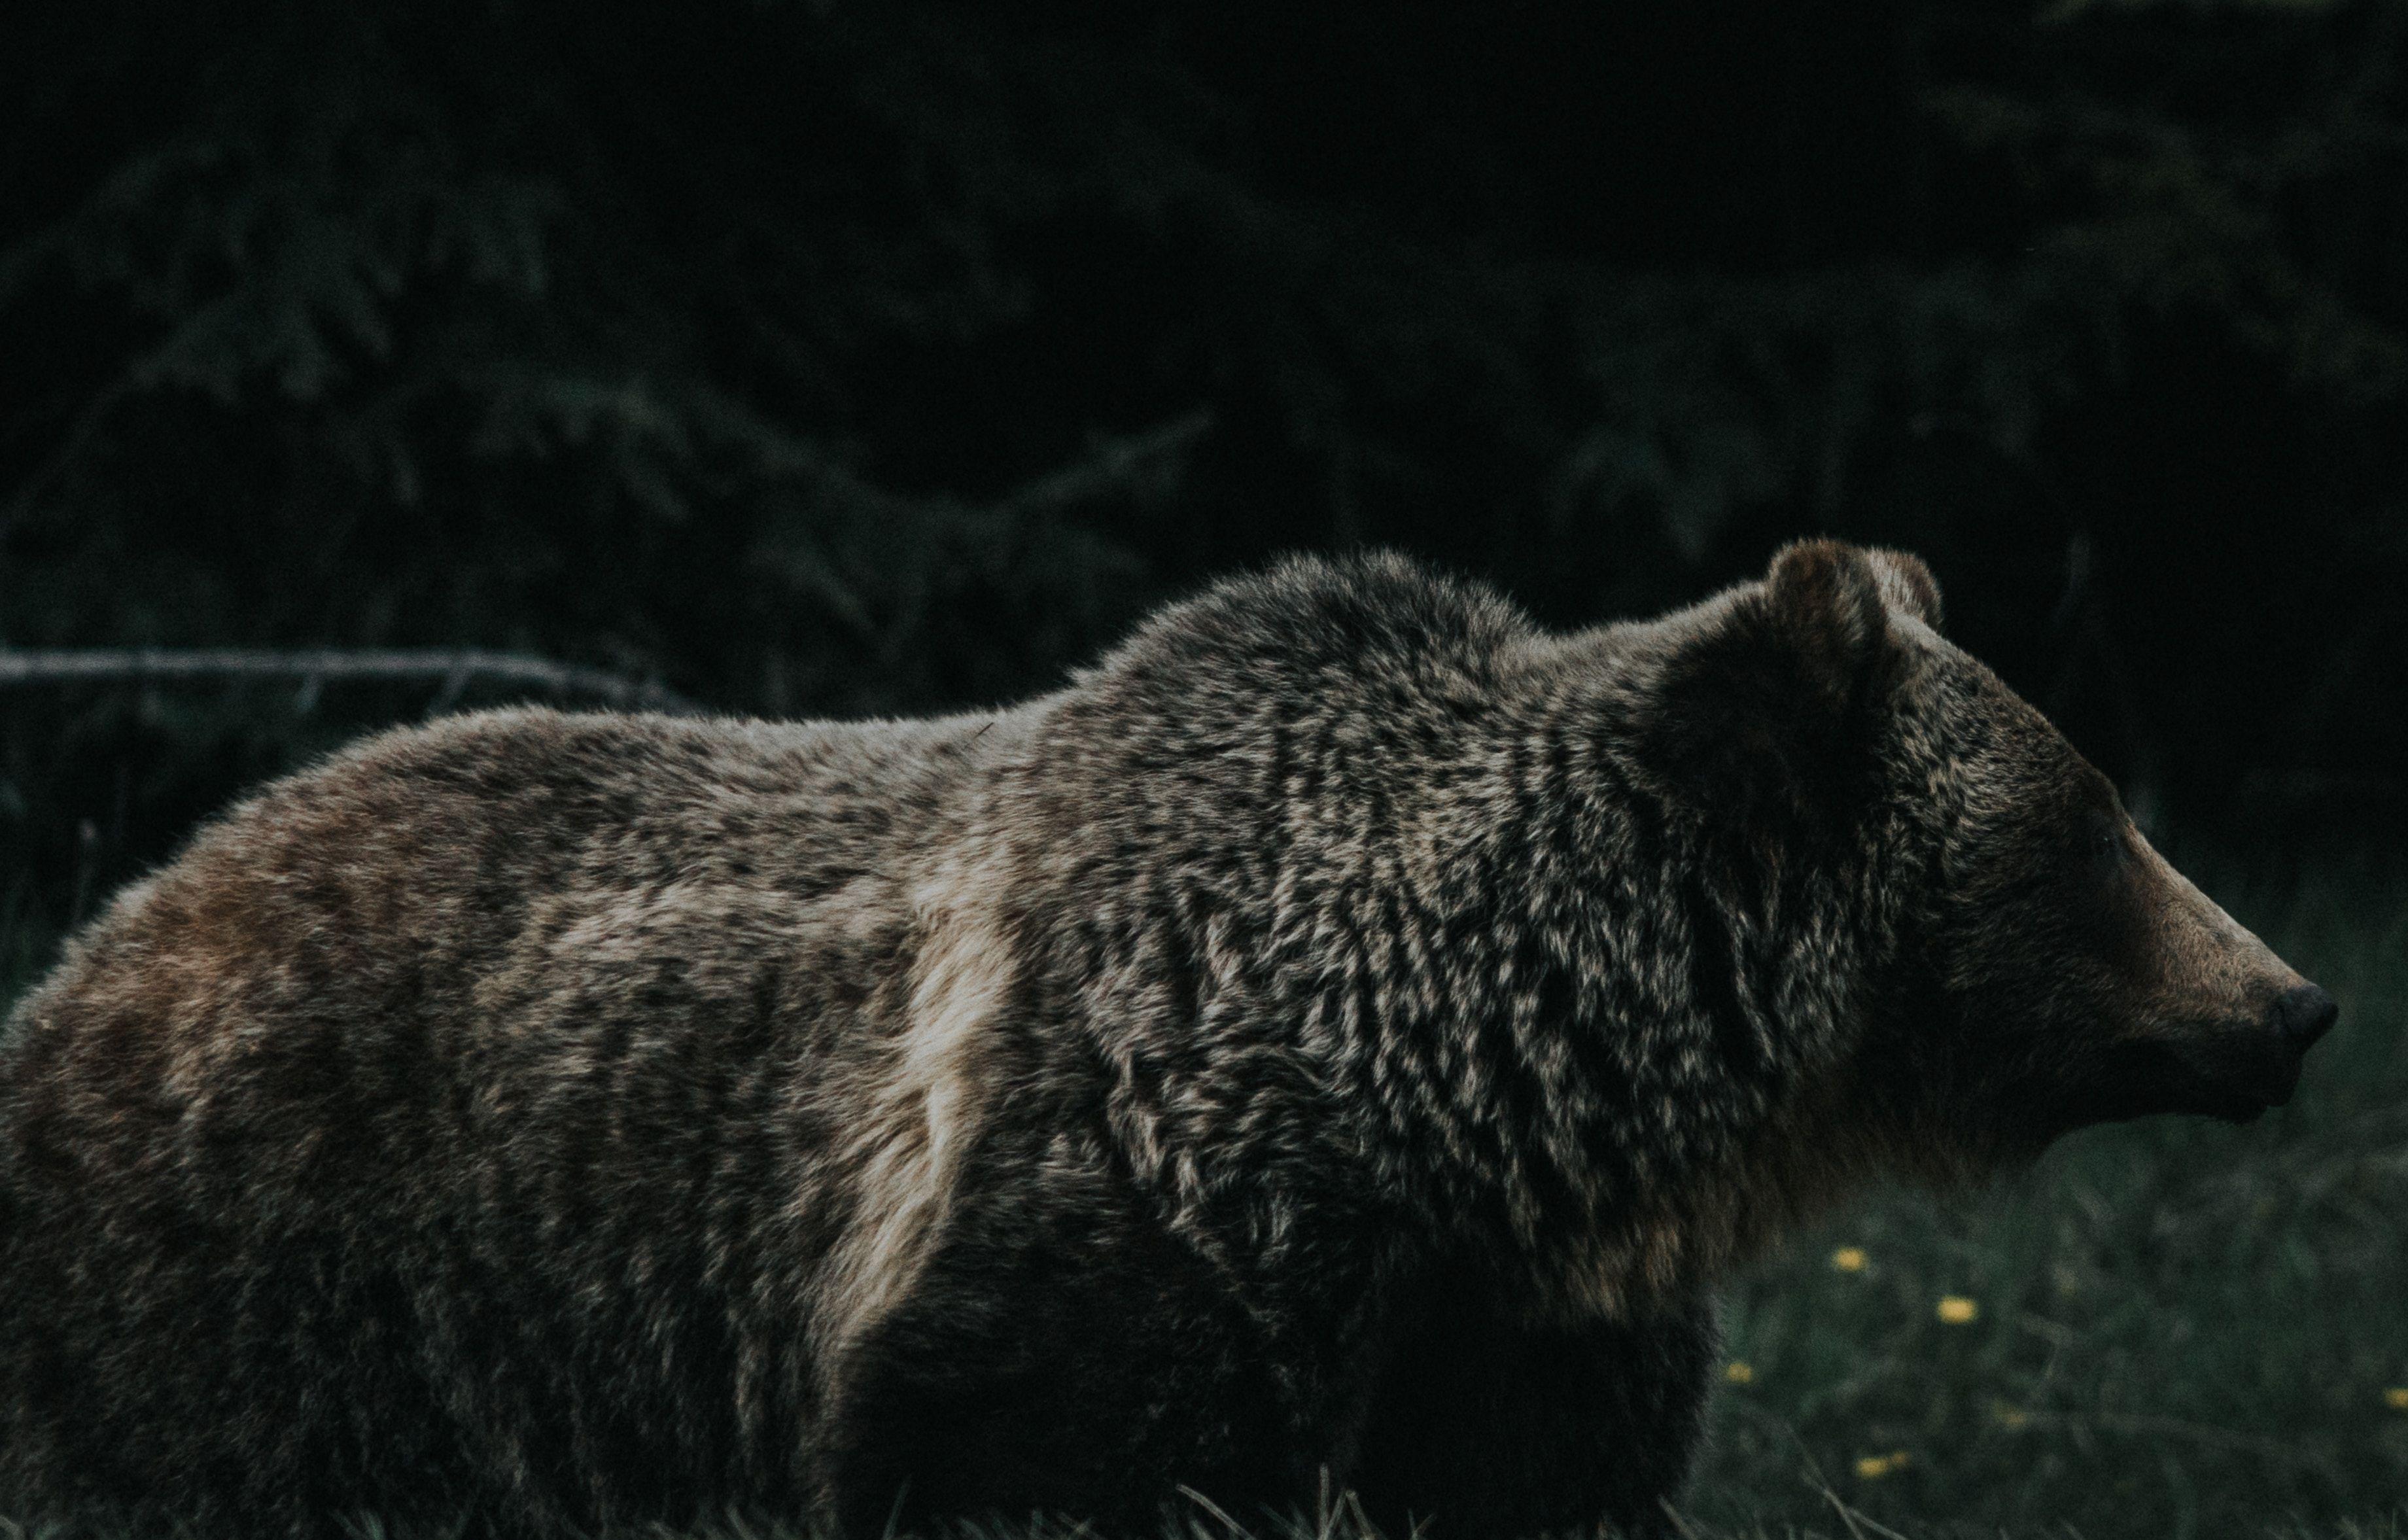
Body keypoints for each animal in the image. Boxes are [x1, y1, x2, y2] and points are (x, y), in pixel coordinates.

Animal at [0, 541, 2335, 1539]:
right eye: (2093, 817)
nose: (2295, 1003)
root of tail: (119, 920)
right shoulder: (1113, 1215)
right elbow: (1042, 1449)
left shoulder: (1512, 1328)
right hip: (298, 1281)